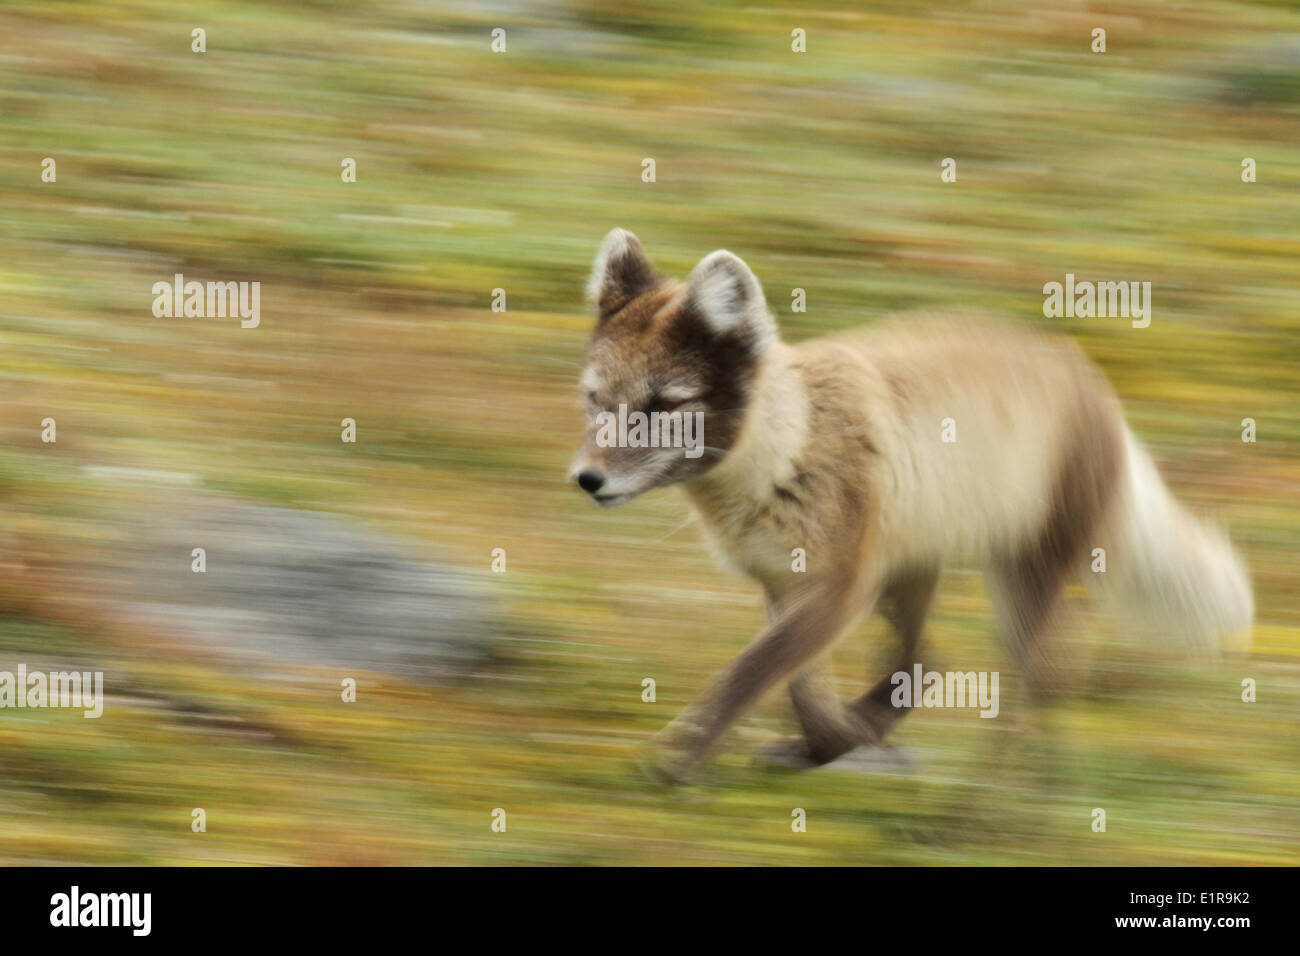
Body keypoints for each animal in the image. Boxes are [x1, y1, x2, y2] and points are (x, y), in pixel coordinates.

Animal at [570, 228, 1253, 783]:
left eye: (664, 405)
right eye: (597, 399)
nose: (586, 479)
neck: (784, 451)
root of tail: (1090, 379)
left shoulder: (839, 589)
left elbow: (746, 674)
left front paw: (673, 760)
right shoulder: (786, 585)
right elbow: (798, 685)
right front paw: (828, 743)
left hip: (1012, 590)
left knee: (1035, 687)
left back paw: (991, 814)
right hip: (910, 578)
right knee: (930, 661)